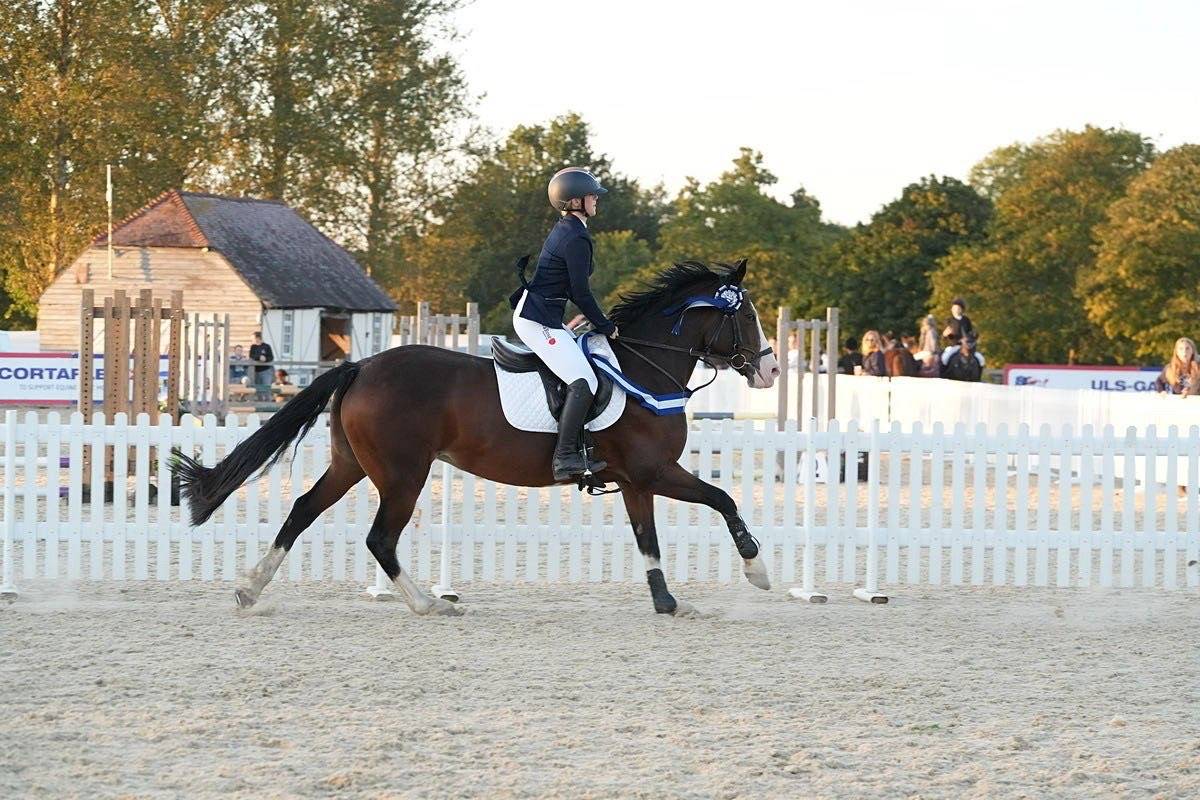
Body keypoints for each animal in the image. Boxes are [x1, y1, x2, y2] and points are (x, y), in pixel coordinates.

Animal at [173, 259, 780, 617]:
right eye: (747, 314)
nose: (771, 370)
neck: (644, 368)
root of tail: (362, 366)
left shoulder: (636, 481)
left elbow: (647, 539)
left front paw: (667, 602)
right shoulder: (655, 471)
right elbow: (723, 499)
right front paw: (757, 571)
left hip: (353, 465)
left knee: (302, 510)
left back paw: (251, 589)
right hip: (403, 474)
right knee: (379, 538)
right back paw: (428, 604)